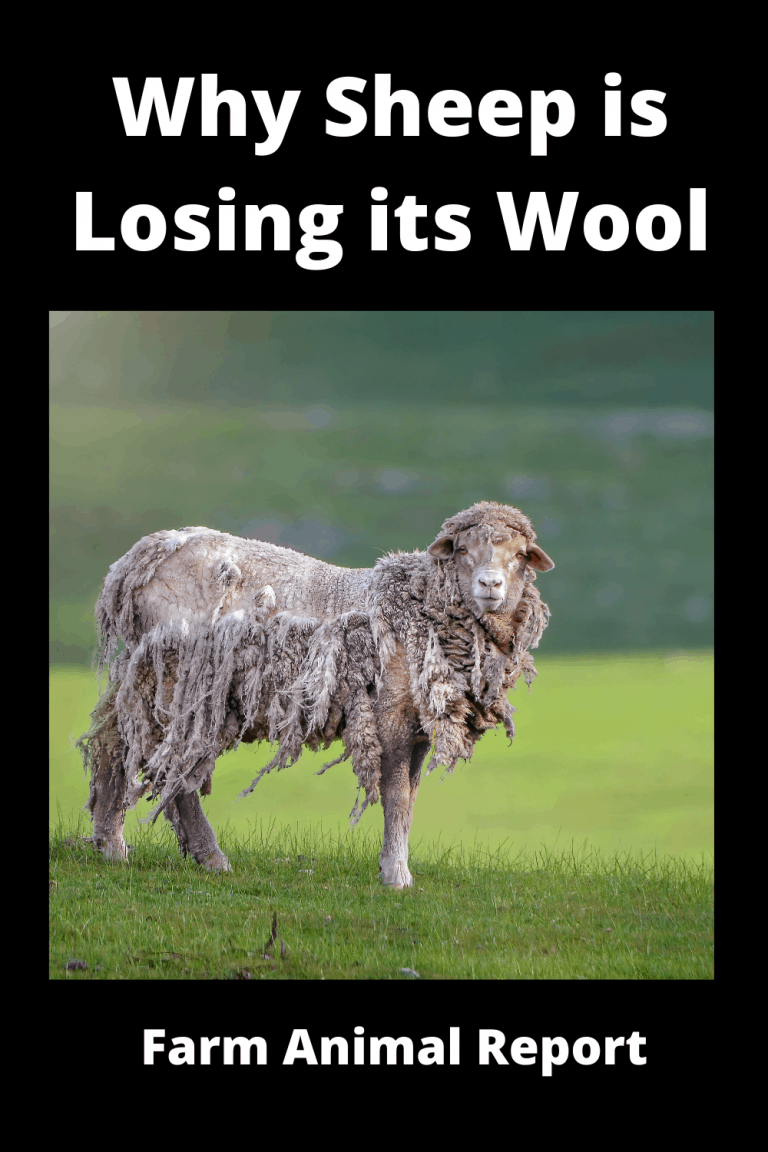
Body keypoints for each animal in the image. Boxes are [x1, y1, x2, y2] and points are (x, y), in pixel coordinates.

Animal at [77, 501, 554, 887]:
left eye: (519, 555)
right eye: (461, 550)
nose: (490, 585)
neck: (424, 603)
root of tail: (142, 556)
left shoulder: (418, 722)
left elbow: (411, 795)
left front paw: (396, 865)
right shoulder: (389, 710)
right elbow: (396, 793)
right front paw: (396, 874)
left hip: (150, 678)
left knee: (120, 743)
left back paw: (116, 843)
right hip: (181, 679)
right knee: (165, 764)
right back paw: (202, 854)